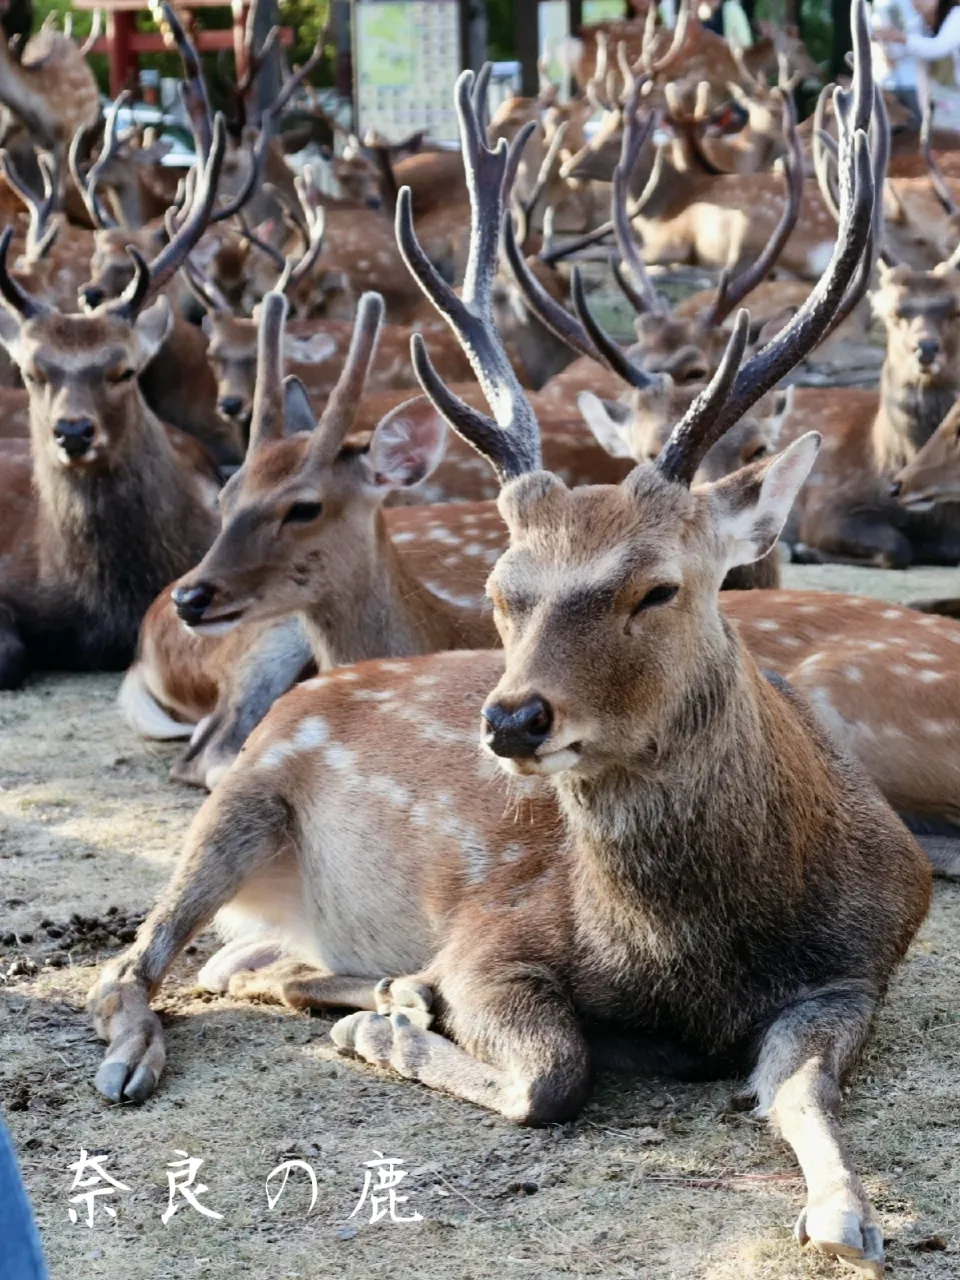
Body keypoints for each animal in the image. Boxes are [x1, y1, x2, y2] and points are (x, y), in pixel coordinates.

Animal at [86, 34, 934, 1280]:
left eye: (657, 586)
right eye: (501, 588)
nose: (513, 718)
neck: (697, 951)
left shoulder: (860, 964)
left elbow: (798, 1092)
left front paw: (844, 1209)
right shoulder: (498, 929)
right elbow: (553, 1073)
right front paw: (394, 1030)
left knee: (242, 963)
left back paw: (358, 983)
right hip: (241, 792)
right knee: (138, 960)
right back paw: (170, 1045)